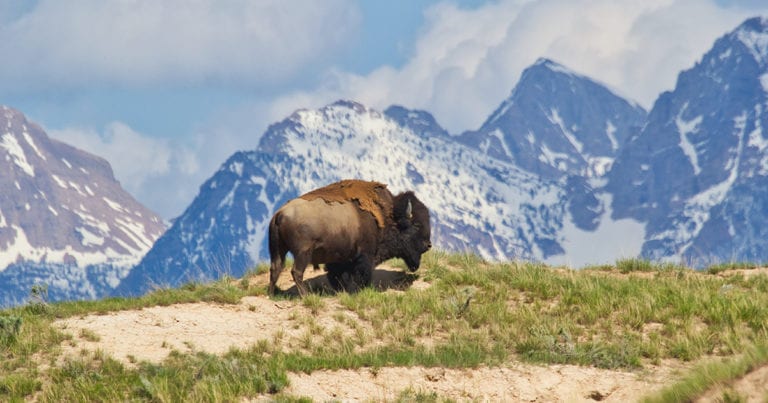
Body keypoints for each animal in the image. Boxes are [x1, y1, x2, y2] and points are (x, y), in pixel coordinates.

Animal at [268, 179, 431, 296]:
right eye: (416, 225)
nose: (428, 245)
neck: (388, 216)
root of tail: (280, 213)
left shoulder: (339, 259)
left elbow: (337, 276)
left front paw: (342, 290)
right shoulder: (365, 256)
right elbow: (360, 275)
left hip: (279, 250)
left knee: (275, 268)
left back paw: (272, 293)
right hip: (303, 253)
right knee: (296, 272)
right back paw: (305, 295)